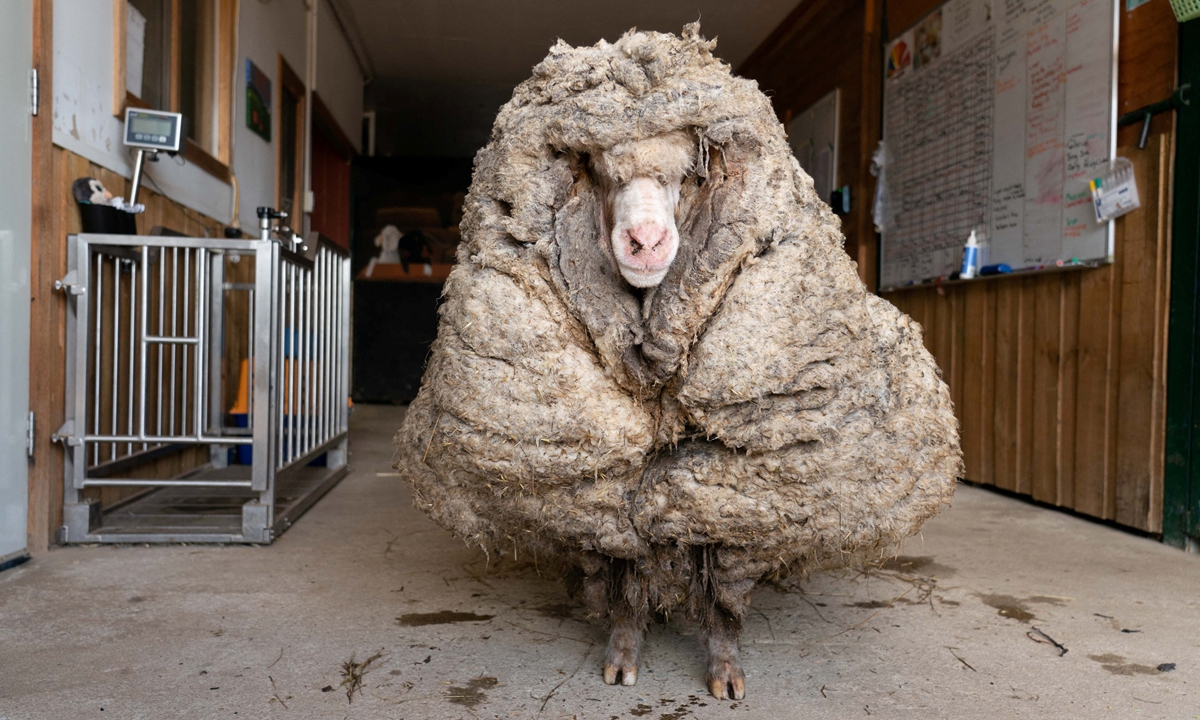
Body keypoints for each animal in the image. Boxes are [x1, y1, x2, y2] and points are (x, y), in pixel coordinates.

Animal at [395, 23, 962, 701]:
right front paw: (623, 651)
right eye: (599, 172)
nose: (645, 242)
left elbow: (721, 581)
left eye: (688, 177)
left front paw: (724, 666)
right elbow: (619, 567)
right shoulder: (598, 486)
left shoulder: (737, 482)